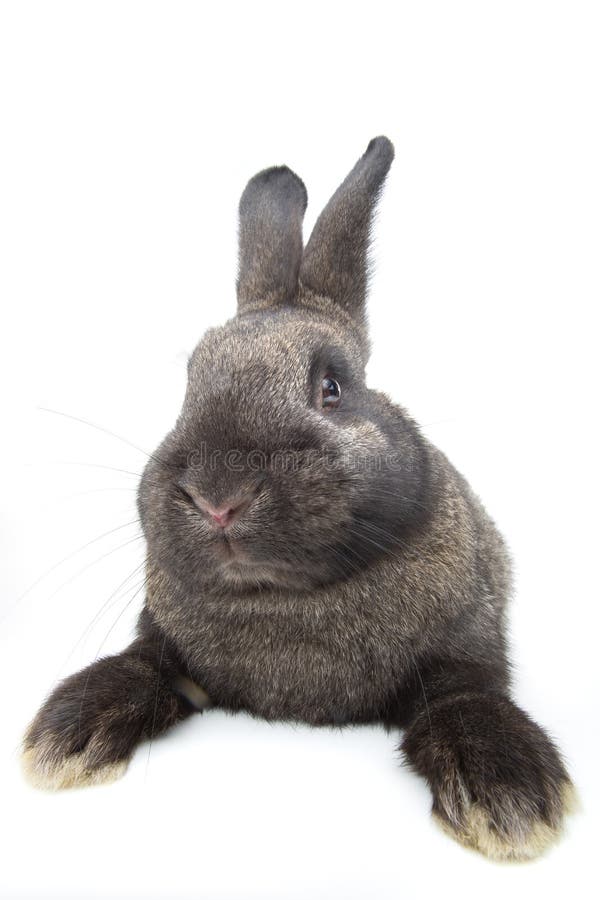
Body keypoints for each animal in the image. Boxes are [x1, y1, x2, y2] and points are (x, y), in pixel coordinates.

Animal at [22, 136, 576, 861]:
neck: (285, 599)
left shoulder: (467, 646)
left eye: (331, 388)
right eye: (187, 387)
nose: (219, 498)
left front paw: (509, 799)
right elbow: (142, 665)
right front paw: (66, 738)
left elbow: (467, 700)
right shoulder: (166, 647)